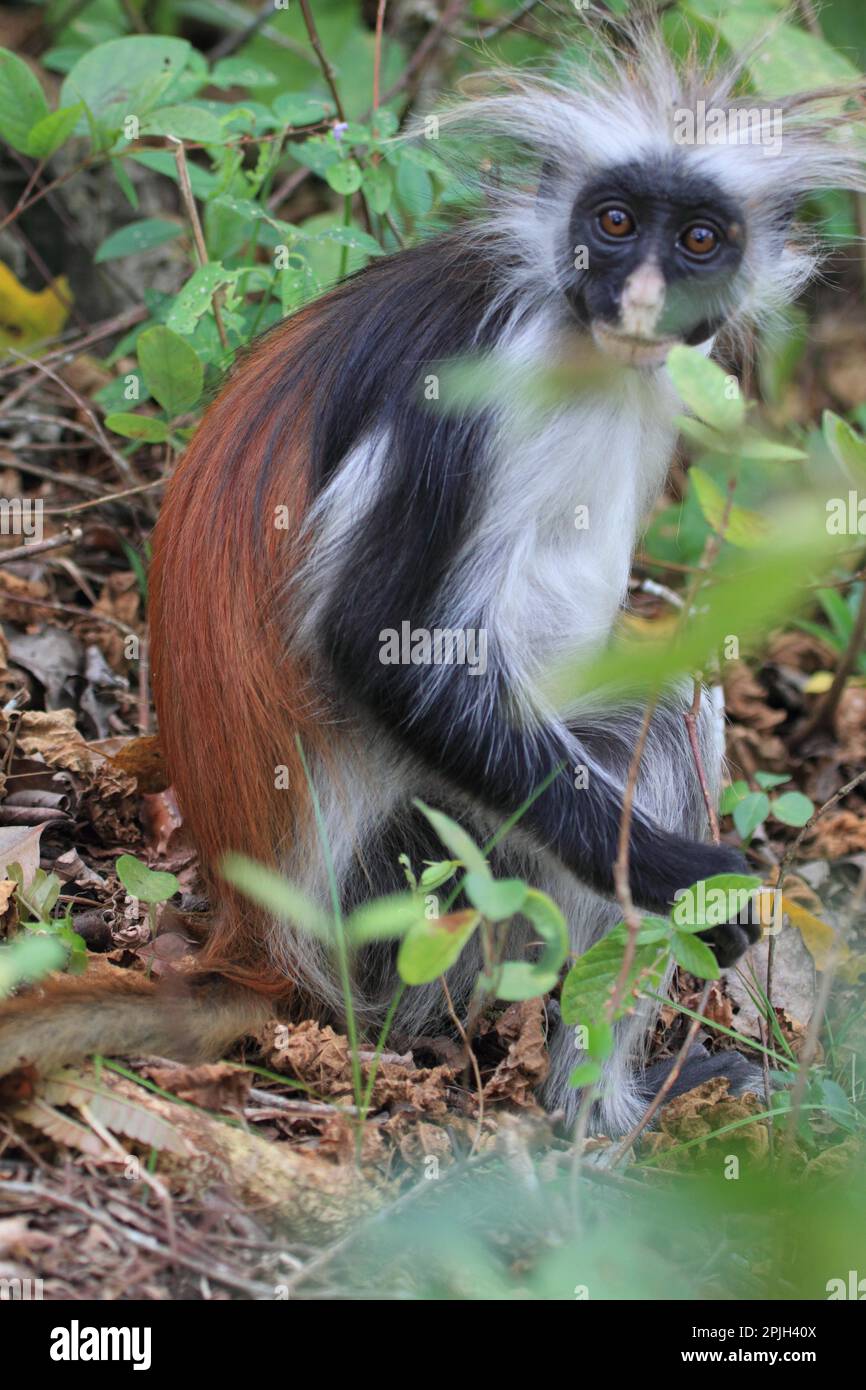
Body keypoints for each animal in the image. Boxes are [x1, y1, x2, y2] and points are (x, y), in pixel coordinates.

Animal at [0, 18, 863, 1133]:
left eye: (700, 240)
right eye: (615, 222)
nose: (639, 295)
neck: (576, 335)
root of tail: (254, 946)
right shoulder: (478, 372)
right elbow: (380, 645)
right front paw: (688, 884)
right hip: (408, 898)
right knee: (653, 727)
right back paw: (597, 1120)